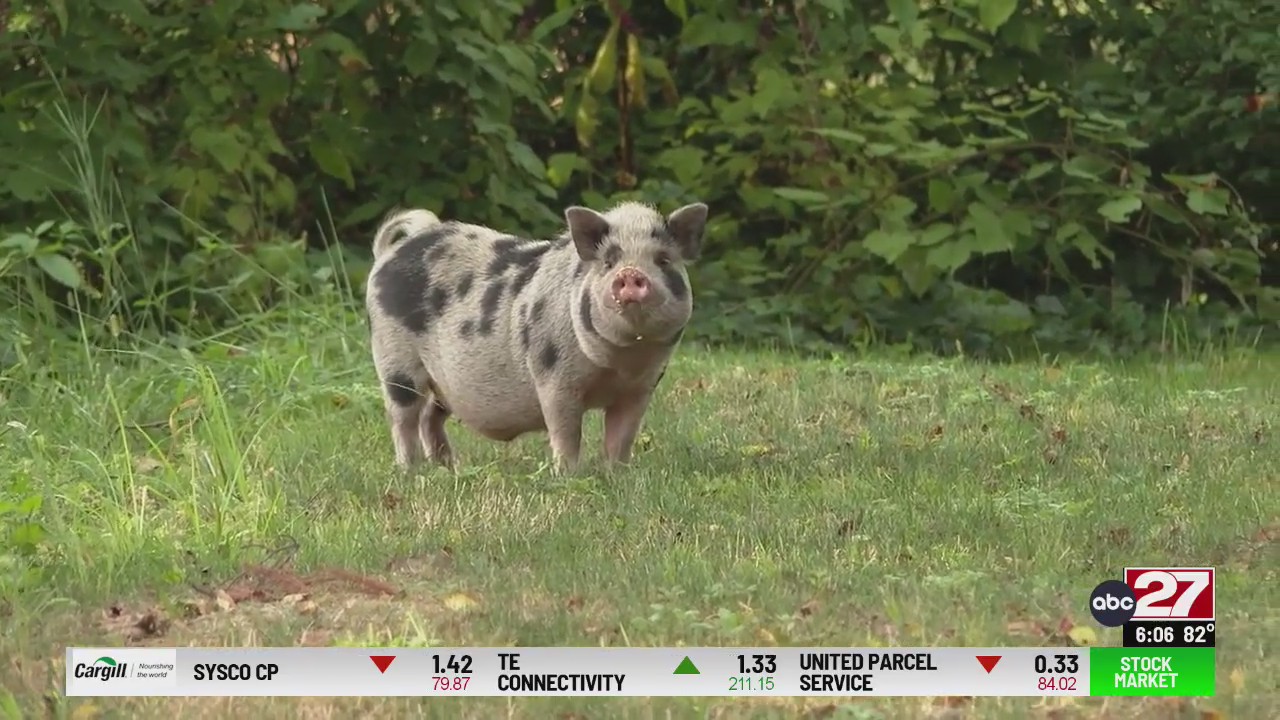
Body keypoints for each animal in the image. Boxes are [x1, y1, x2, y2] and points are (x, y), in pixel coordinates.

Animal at [364, 200, 709, 473]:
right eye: (609, 262)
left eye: (663, 260)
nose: (630, 274)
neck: (619, 362)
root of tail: (388, 254)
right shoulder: (554, 378)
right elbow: (566, 431)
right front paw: (568, 475)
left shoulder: (640, 388)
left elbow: (622, 436)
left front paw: (617, 474)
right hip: (394, 361)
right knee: (403, 418)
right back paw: (410, 471)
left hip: (444, 382)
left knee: (429, 418)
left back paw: (448, 467)